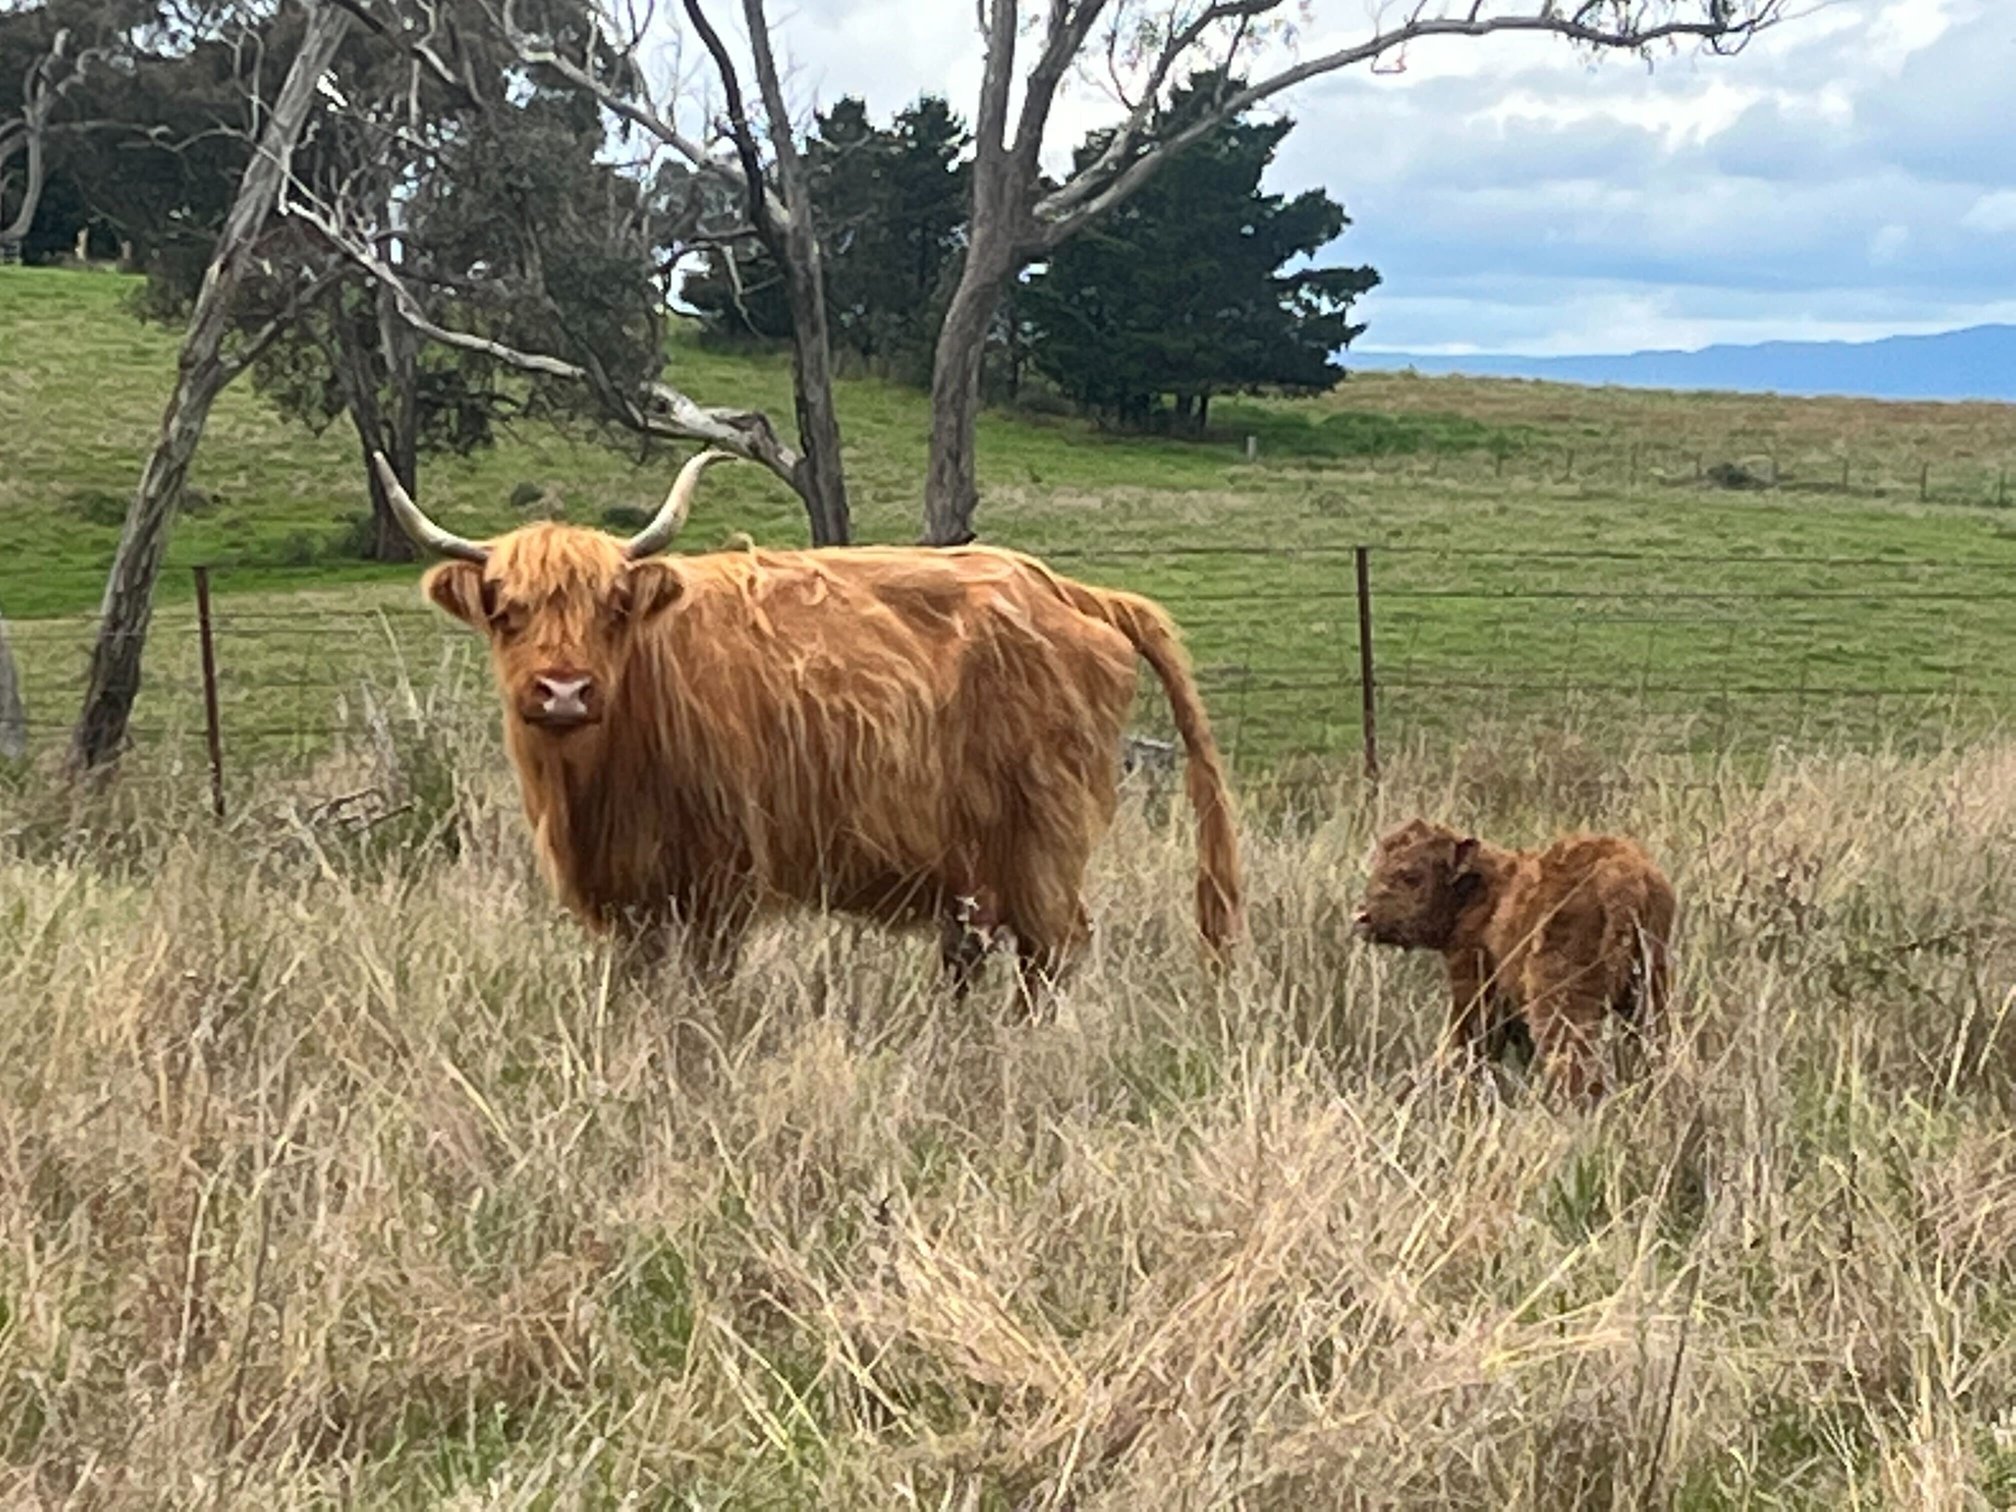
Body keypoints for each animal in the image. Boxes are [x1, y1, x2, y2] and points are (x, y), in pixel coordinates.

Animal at [374, 449, 1243, 998]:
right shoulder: (632, 898)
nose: (563, 691)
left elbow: (704, 999)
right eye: (506, 610)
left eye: (614, 608)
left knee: (1054, 952)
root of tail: (1061, 587)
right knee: (976, 953)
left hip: (1046, 840)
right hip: (976, 862)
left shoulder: (722, 878)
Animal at [1352, 817, 1676, 1103]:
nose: (1361, 917)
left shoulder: (1473, 986)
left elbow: (1462, 1046)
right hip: (1650, 994)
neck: (1482, 891)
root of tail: (1626, 878)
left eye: (1410, 876)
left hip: (1562, 1004)